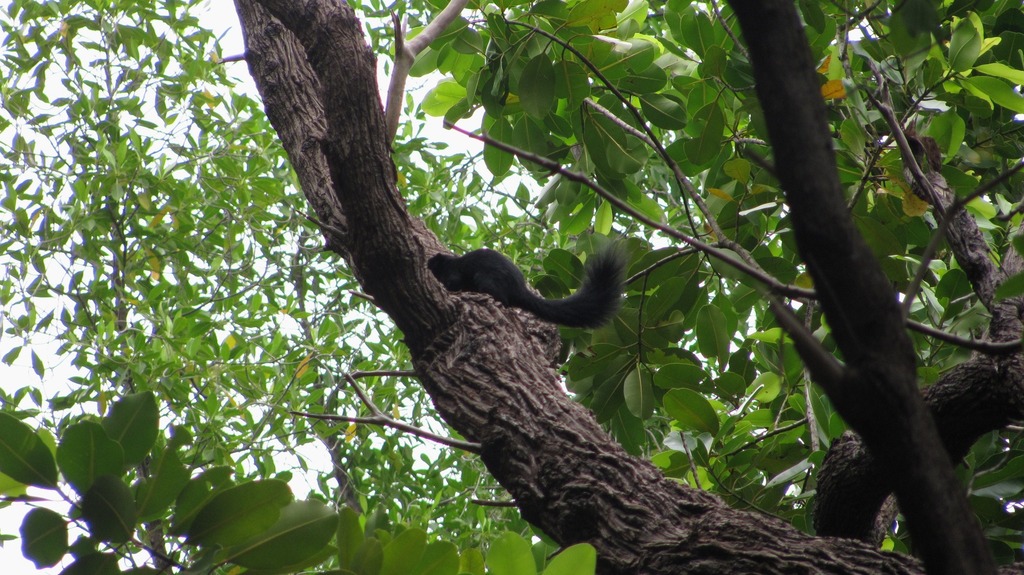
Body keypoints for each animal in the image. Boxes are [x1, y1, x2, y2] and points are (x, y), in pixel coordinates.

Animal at [428, 247, 625, 328]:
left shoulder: (453, 274)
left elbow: (453, 284)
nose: (426, 264)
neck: (447, 263)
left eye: (432, 263)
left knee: (502, 299)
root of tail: (520, 289)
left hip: (485, 278)